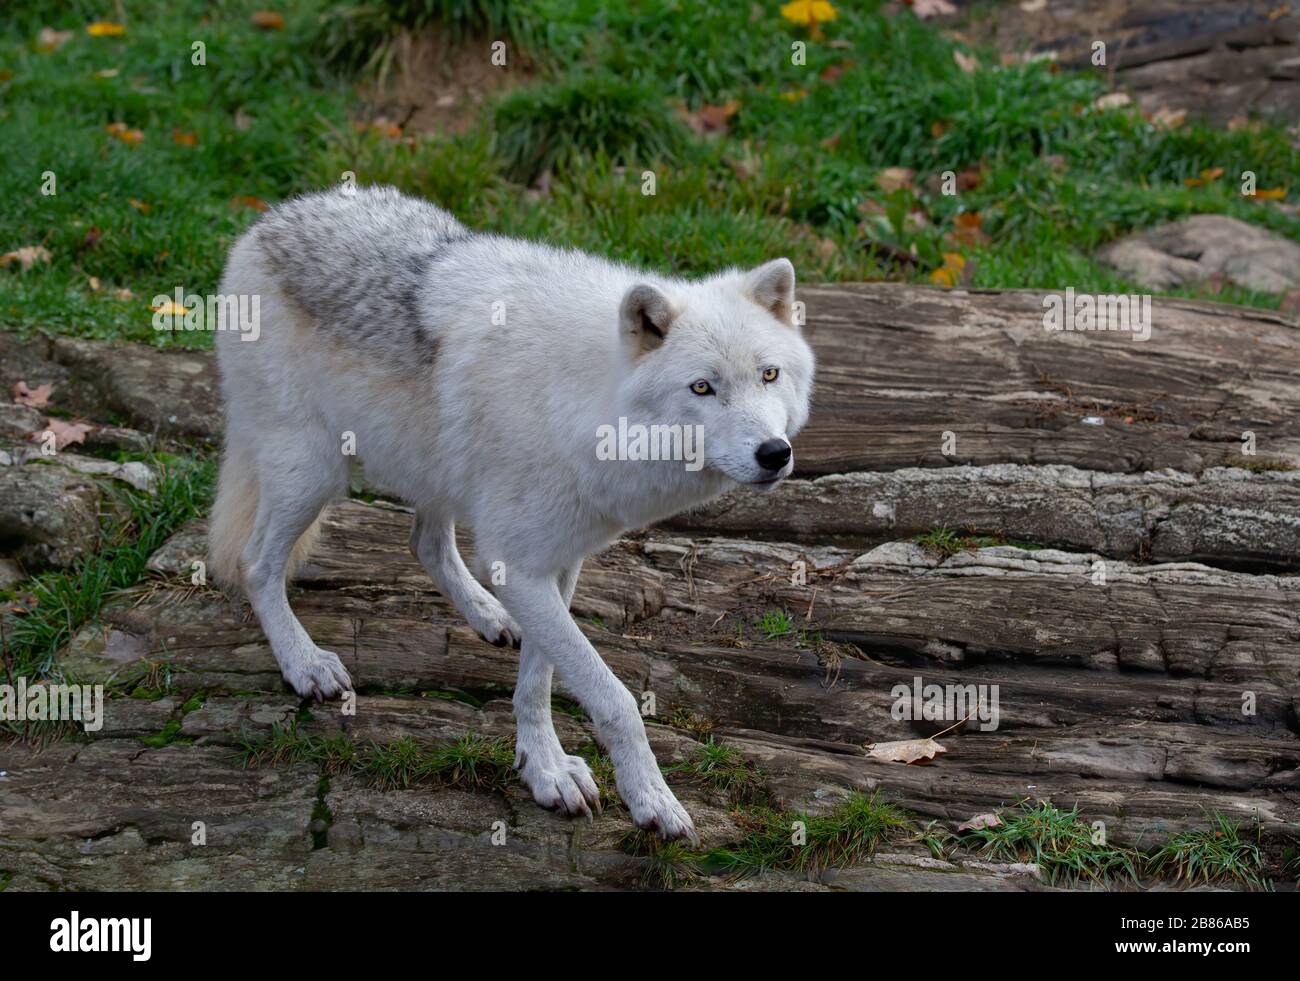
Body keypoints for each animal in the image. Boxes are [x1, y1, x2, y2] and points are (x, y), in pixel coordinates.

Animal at [209, 185, 815, 841]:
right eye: (702, 388)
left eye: (769, 374)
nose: (774, 453)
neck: (585, 401)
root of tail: (270, 219)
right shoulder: (526, 567)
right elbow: (615, 700)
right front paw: (648, 798)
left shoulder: (555, 562)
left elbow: (539, 680)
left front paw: (542, 767)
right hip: (313, 472)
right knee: (255, 565)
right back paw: (304, 663)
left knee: (425, 543)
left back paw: (488, 614)